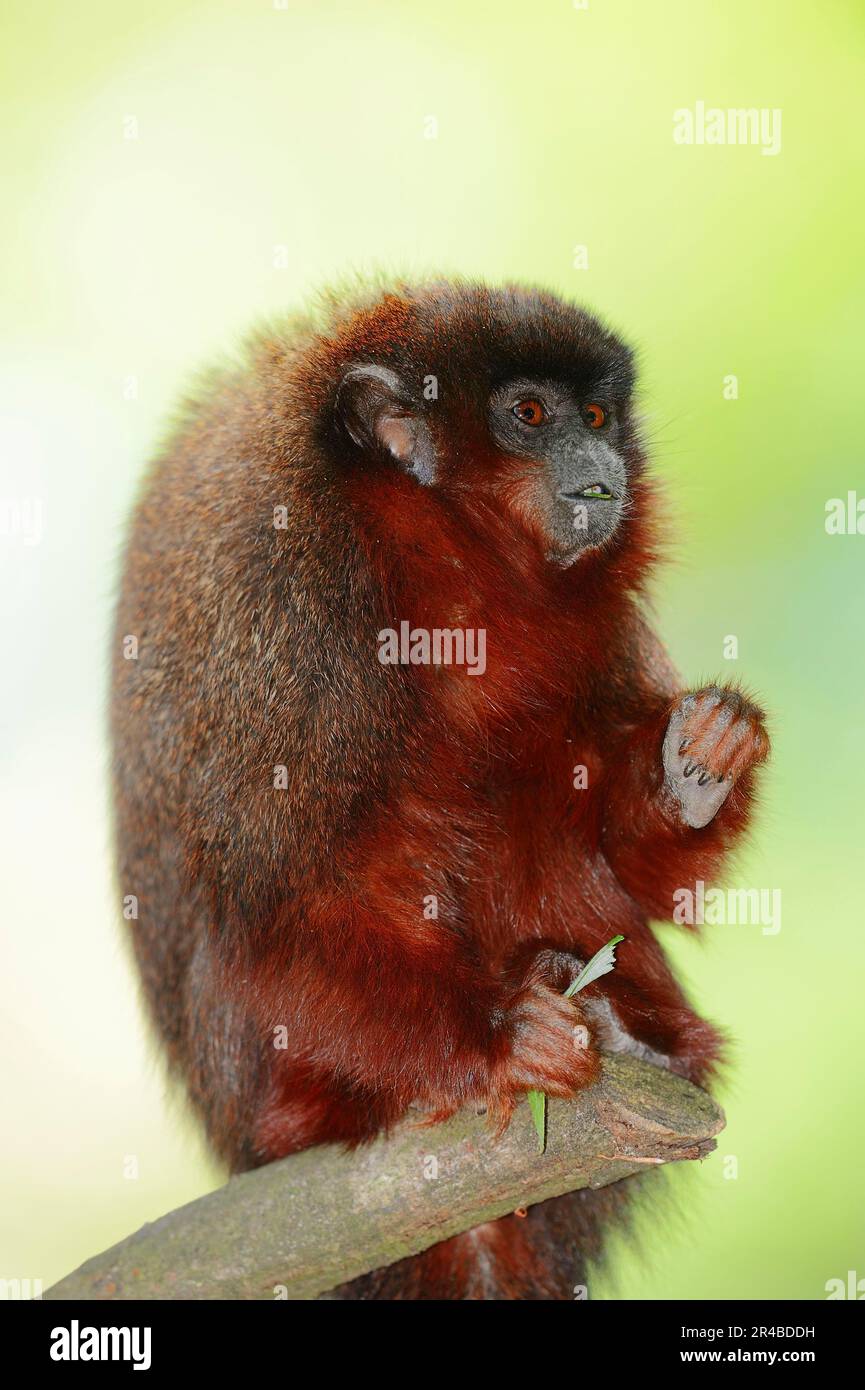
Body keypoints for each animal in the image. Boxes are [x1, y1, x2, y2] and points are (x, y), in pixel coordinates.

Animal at [110, 278, 769, 1300]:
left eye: (595, 417)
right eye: (529, 416)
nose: (600, 468)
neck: (447, 576)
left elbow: (638, 867)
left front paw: (690, 768)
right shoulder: (289, 610)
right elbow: (280, 906)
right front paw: (500, 1033)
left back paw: (637, 1032)